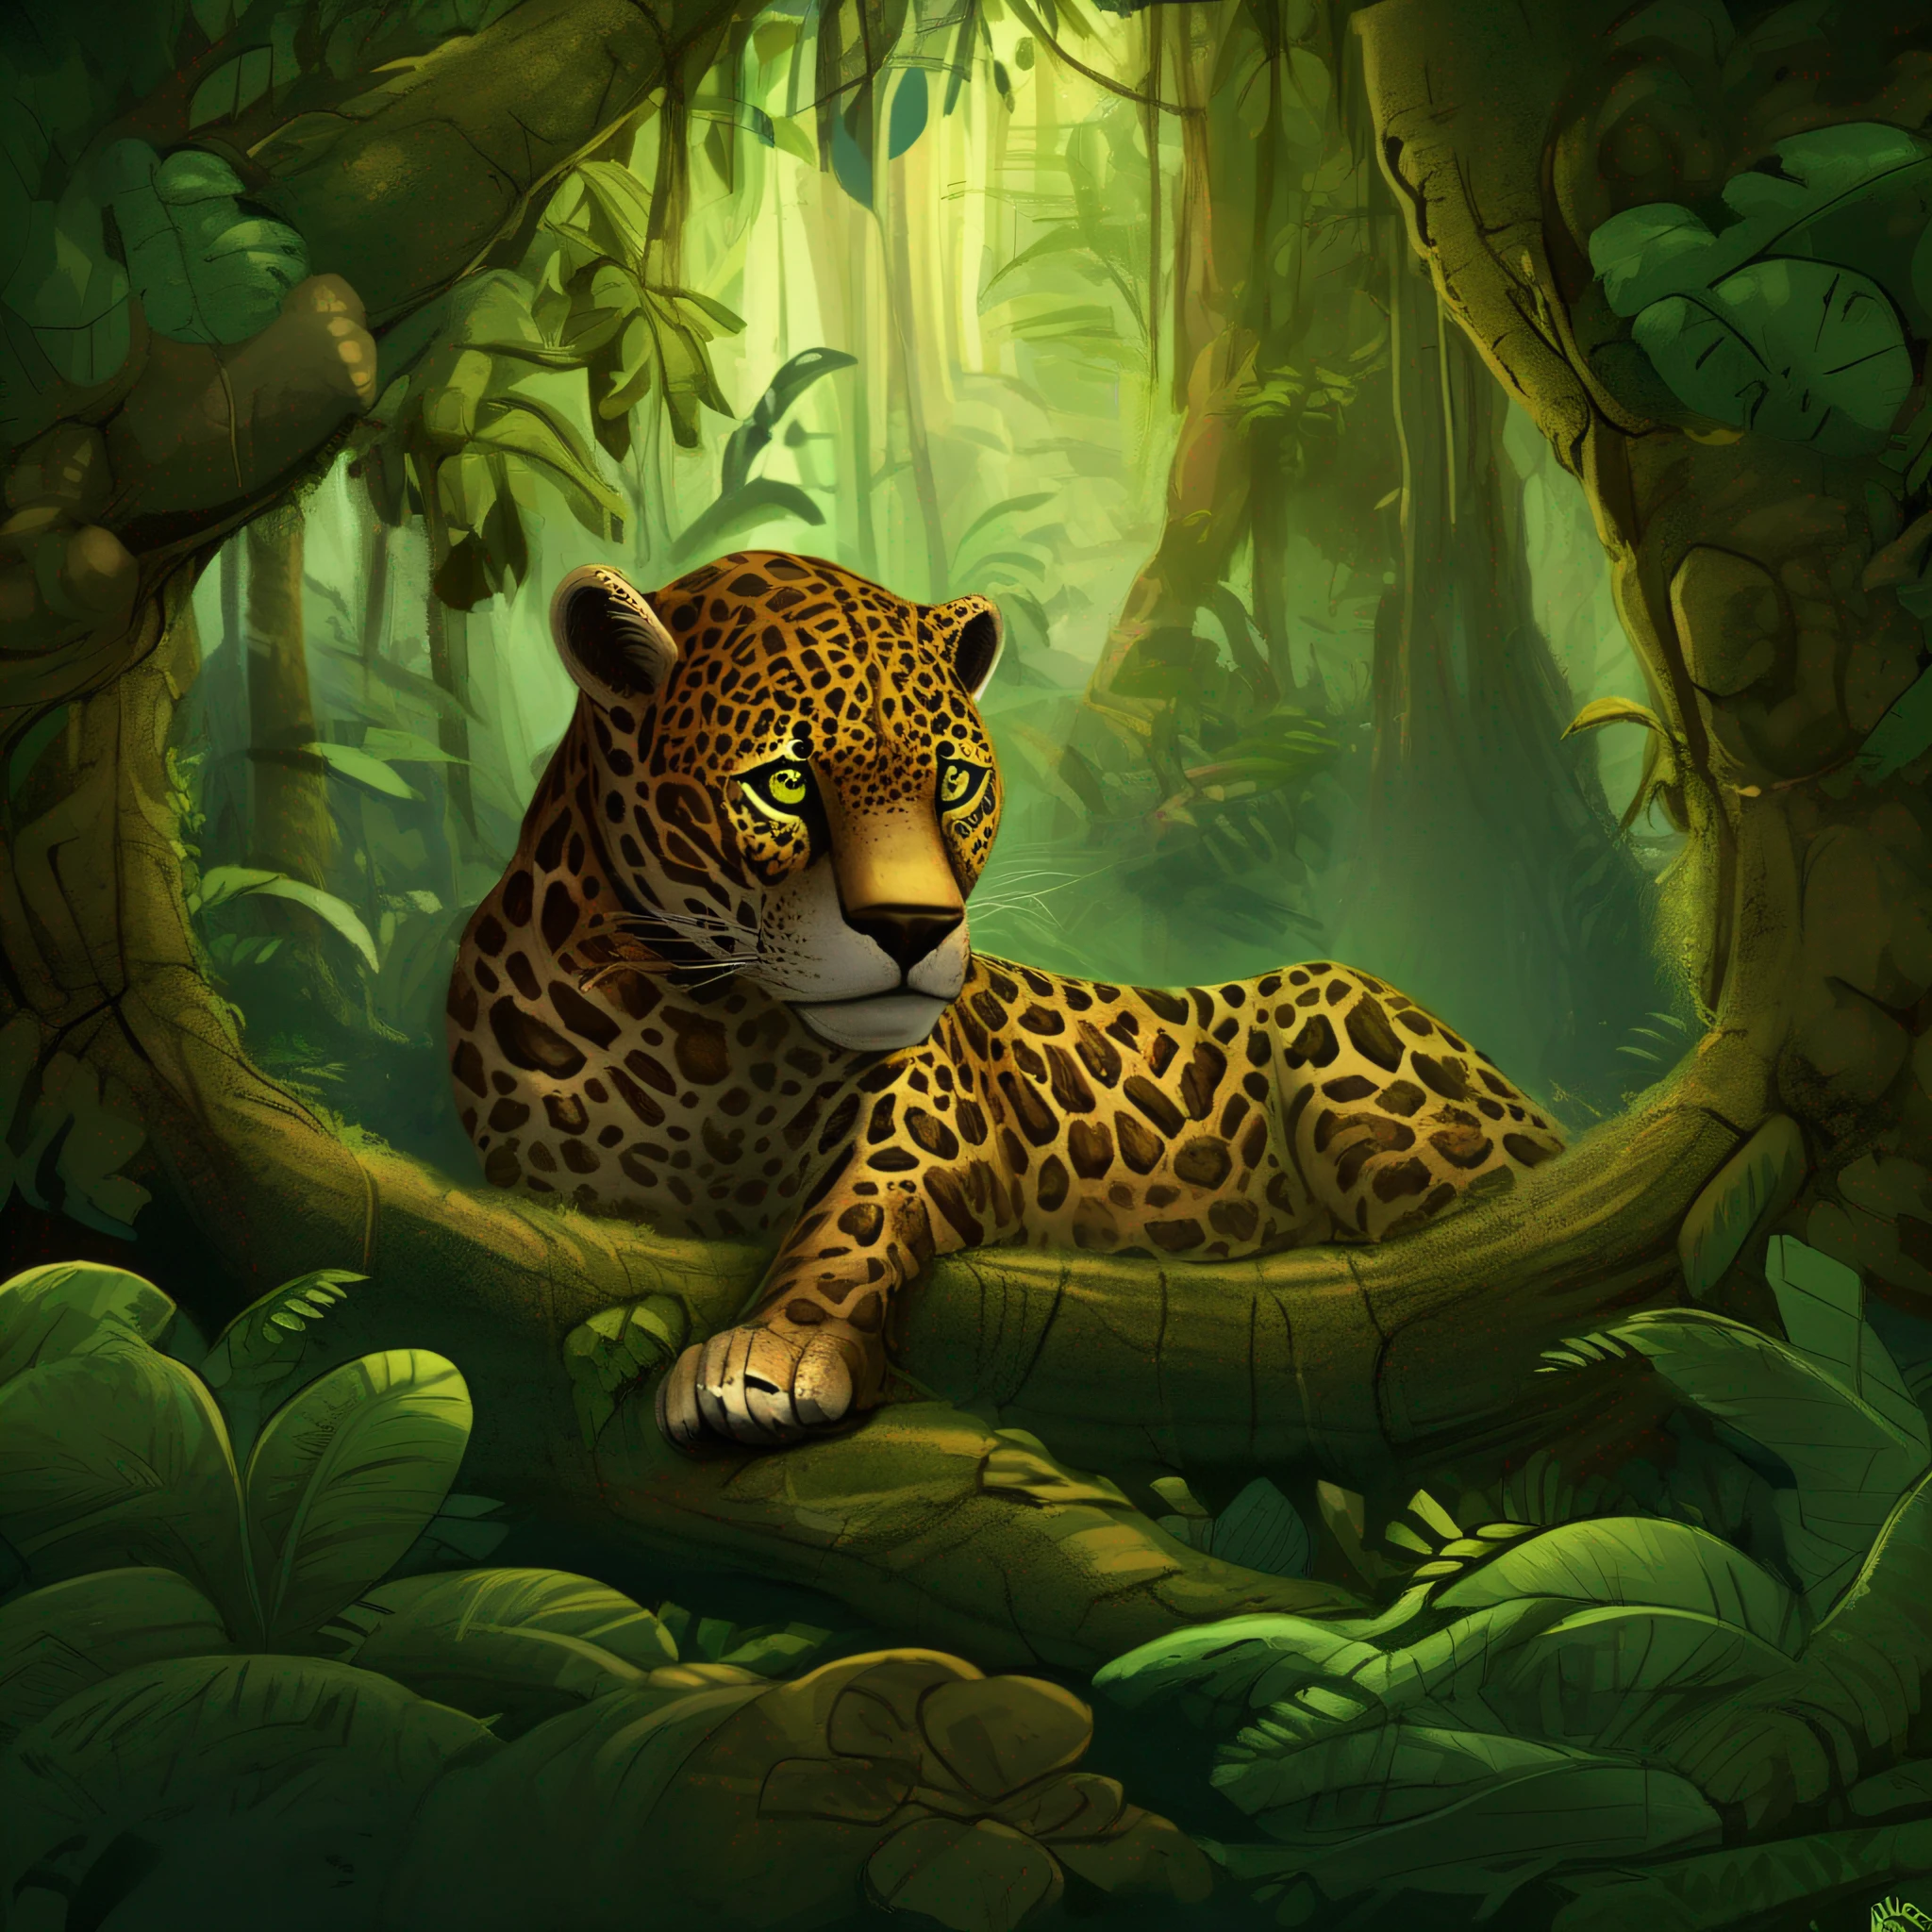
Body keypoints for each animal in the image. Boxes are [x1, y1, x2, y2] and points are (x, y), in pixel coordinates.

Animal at [446, 551, 1565, 1454]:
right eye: (783, 784)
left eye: (951, 780)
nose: (912, 928)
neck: (703, 1030)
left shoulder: (921, 1115)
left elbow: (852, 1212)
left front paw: (772, 1350)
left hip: (1343, 1025)